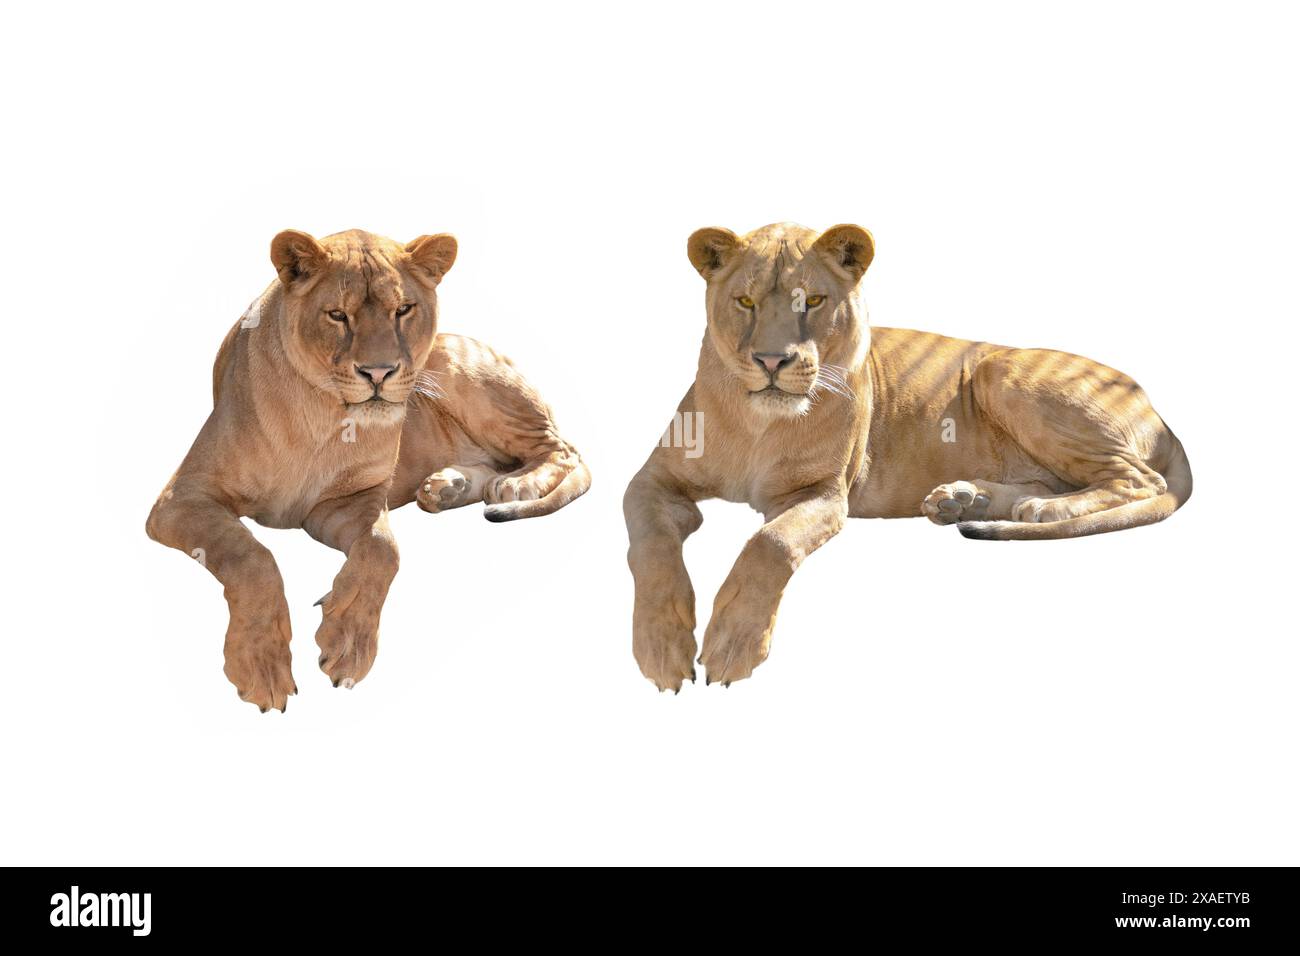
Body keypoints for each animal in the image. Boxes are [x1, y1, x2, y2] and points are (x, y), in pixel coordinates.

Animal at [147, 228, 590, 712]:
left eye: (403, 310)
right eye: (338, 315)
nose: (378, 373)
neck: (326, 420)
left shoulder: (349, 502)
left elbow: (382, 550)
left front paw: (347, 645)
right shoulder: (182, 497)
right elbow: (250, 555)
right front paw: (262, 666)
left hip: (468, 373)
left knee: (564, 451)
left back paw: (516, 485)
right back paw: (447, 487)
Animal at [624, 222, 1191, 690]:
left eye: (814, 301)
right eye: (744, 301)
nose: (771, 361)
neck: (759, 423)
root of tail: (1158, 410)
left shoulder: (825, 494)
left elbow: (771, 544)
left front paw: (731, 647)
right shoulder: (652, 480)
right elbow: (651, 546)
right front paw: (662, 649)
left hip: (1000, 368)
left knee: (1140, 481)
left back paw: (1038, 510)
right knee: (1056, 480)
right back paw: (964, 500)